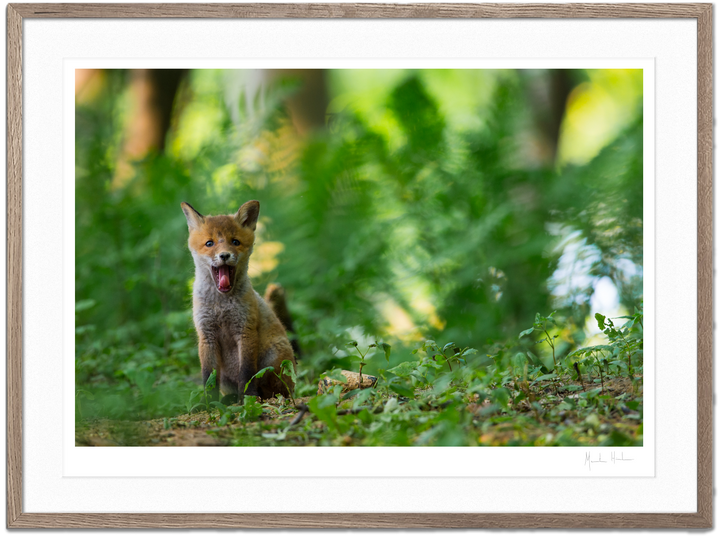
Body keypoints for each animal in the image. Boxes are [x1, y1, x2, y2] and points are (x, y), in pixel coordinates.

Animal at [181, 200, 296, 402]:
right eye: (209, 243)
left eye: (235, 242)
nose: (224, 255)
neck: (221, 304)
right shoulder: (206, 335)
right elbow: (208, 378)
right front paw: (209, 403)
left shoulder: (246, 330)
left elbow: (247, 373)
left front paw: (248, 400)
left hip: (273, 360)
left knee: (274, 391)